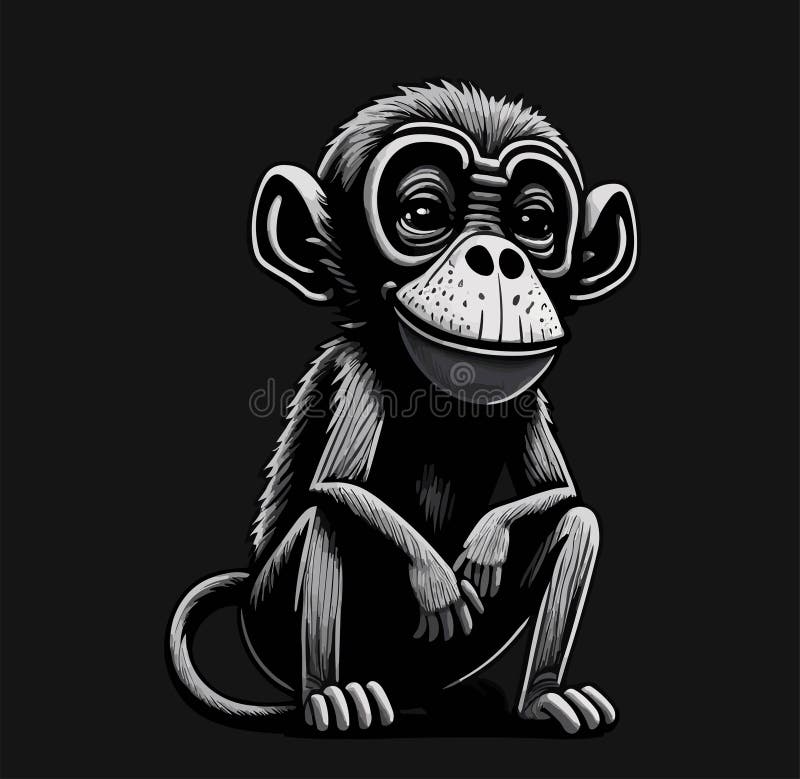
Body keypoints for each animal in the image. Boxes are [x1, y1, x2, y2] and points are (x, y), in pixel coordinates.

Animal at [168, 82, 637, 735]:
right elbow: (339, 488)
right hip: (272, 621)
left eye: (534, 223)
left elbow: (560, 492)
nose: (499, 258)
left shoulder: (526, 396)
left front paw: (488, 538)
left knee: (577, 523)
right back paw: (329, 694)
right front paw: (436, 579)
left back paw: (543, 696)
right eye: (423, 216)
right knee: (328, 522)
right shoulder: (359, 372)